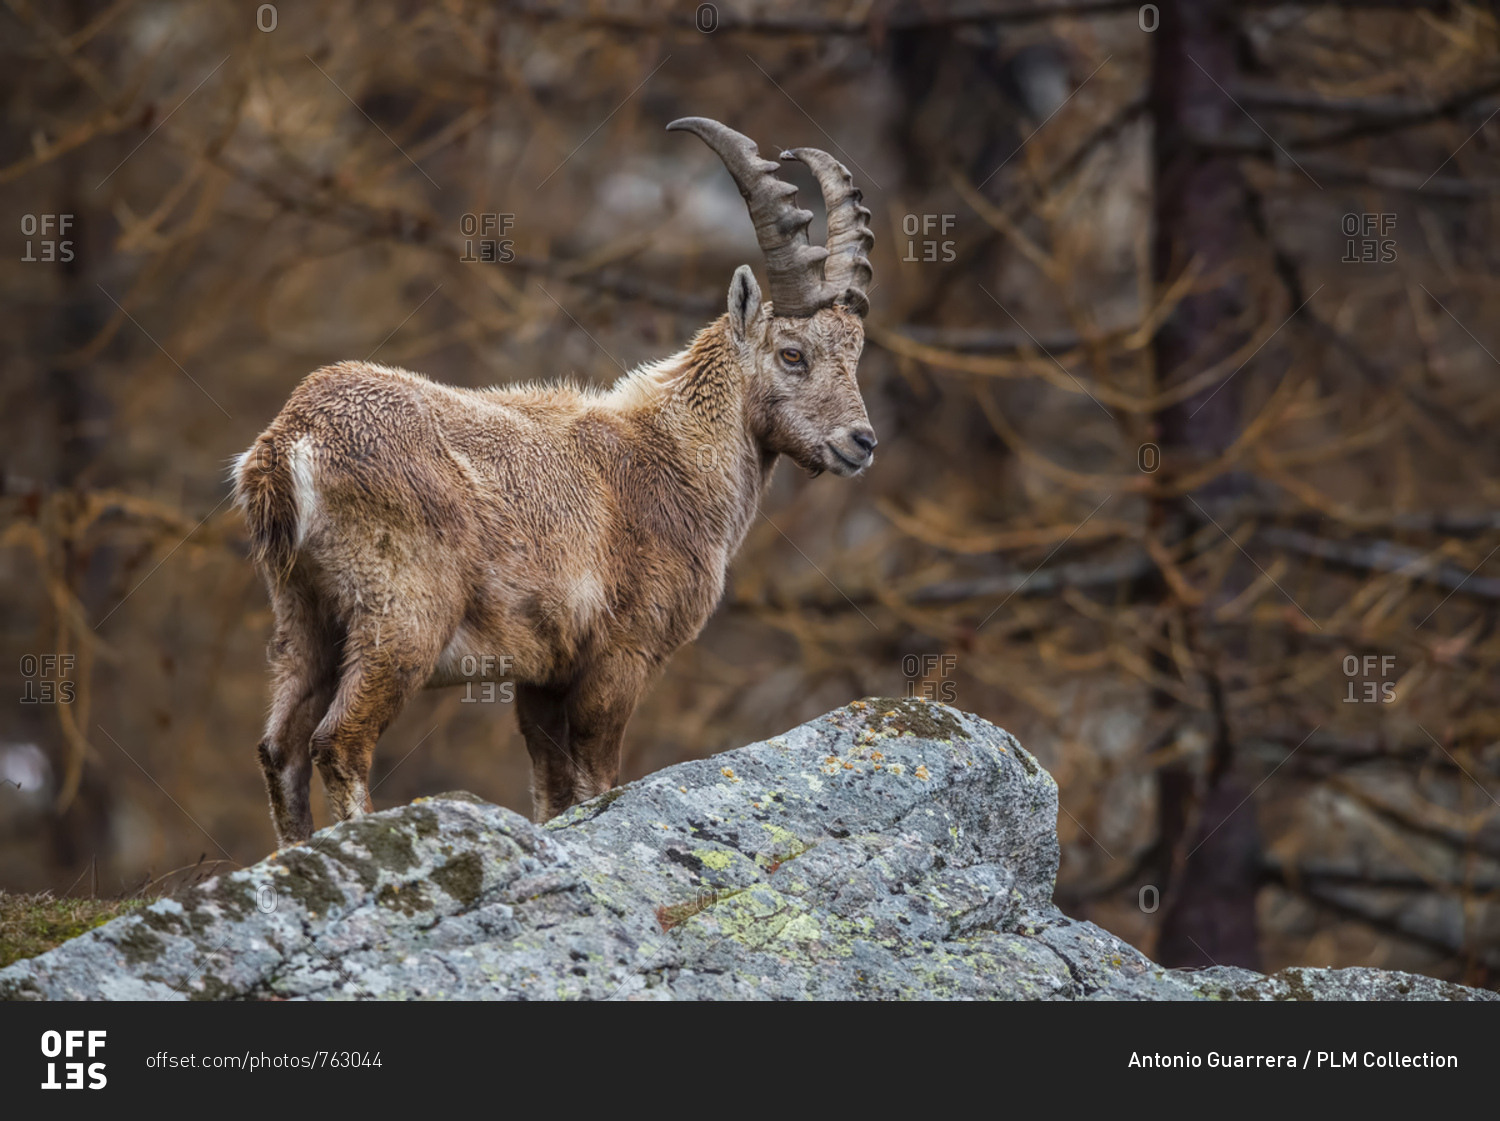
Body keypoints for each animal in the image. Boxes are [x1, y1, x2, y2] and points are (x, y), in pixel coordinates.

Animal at [233, 117, 877, 847]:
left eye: (856, 353)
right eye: (793, 354)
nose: (861, 442)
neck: (674, 459)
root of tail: (288, 444)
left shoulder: (541, 677)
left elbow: (552, 793)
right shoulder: (620, 656)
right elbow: (595, 780)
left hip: (304, 617)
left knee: (280, 748)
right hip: (401, 615)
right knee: (339, 742)